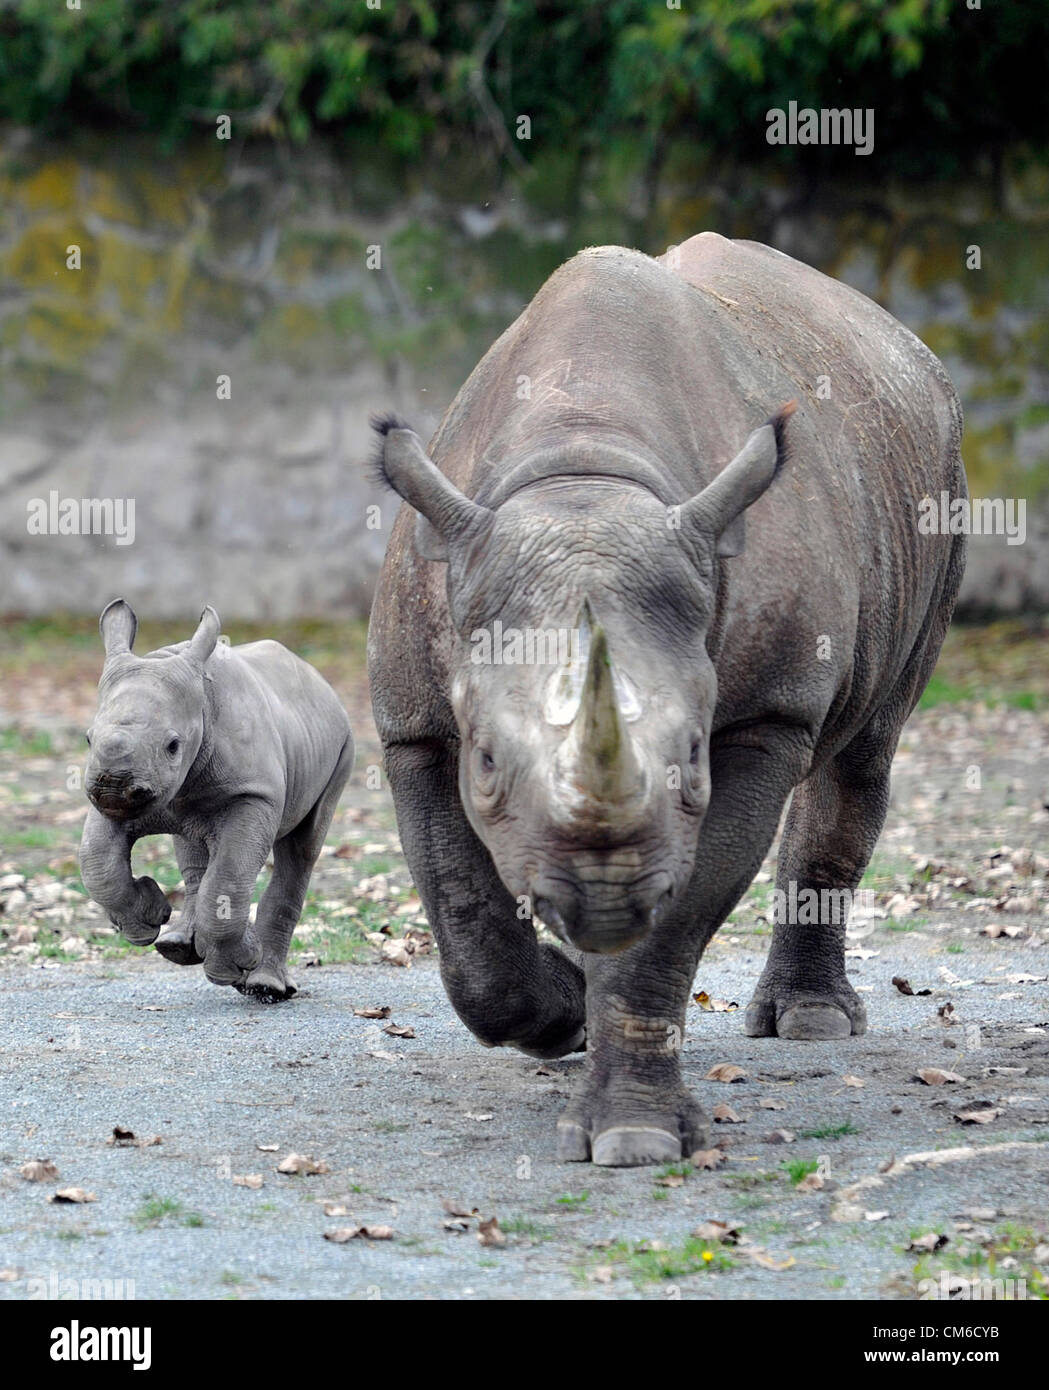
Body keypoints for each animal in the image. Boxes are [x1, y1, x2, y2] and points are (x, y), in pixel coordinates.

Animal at [79, 600, 353, 999]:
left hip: (343, 746)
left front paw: (231, 966)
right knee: (194, 846)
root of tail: (321, 681)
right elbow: (97, 862)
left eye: (173, 745)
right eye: (88, 739)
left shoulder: (252, 794)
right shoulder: (133, 795)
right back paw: (178, 948)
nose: (113, 787)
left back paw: (265, 986)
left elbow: (228, 875)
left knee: (302, 850)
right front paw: (147, 921)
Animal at [368, 232, 966, 1166]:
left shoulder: (762, 719)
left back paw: (810, 1024)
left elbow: (674, 923)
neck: (584, 478)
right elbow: (465, 923)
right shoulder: (415, 724)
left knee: (865, 750)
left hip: (939, 474)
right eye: (488, 761)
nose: (601, 898)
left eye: (691, 754)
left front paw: (634, 1136)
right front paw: (563, 1013)